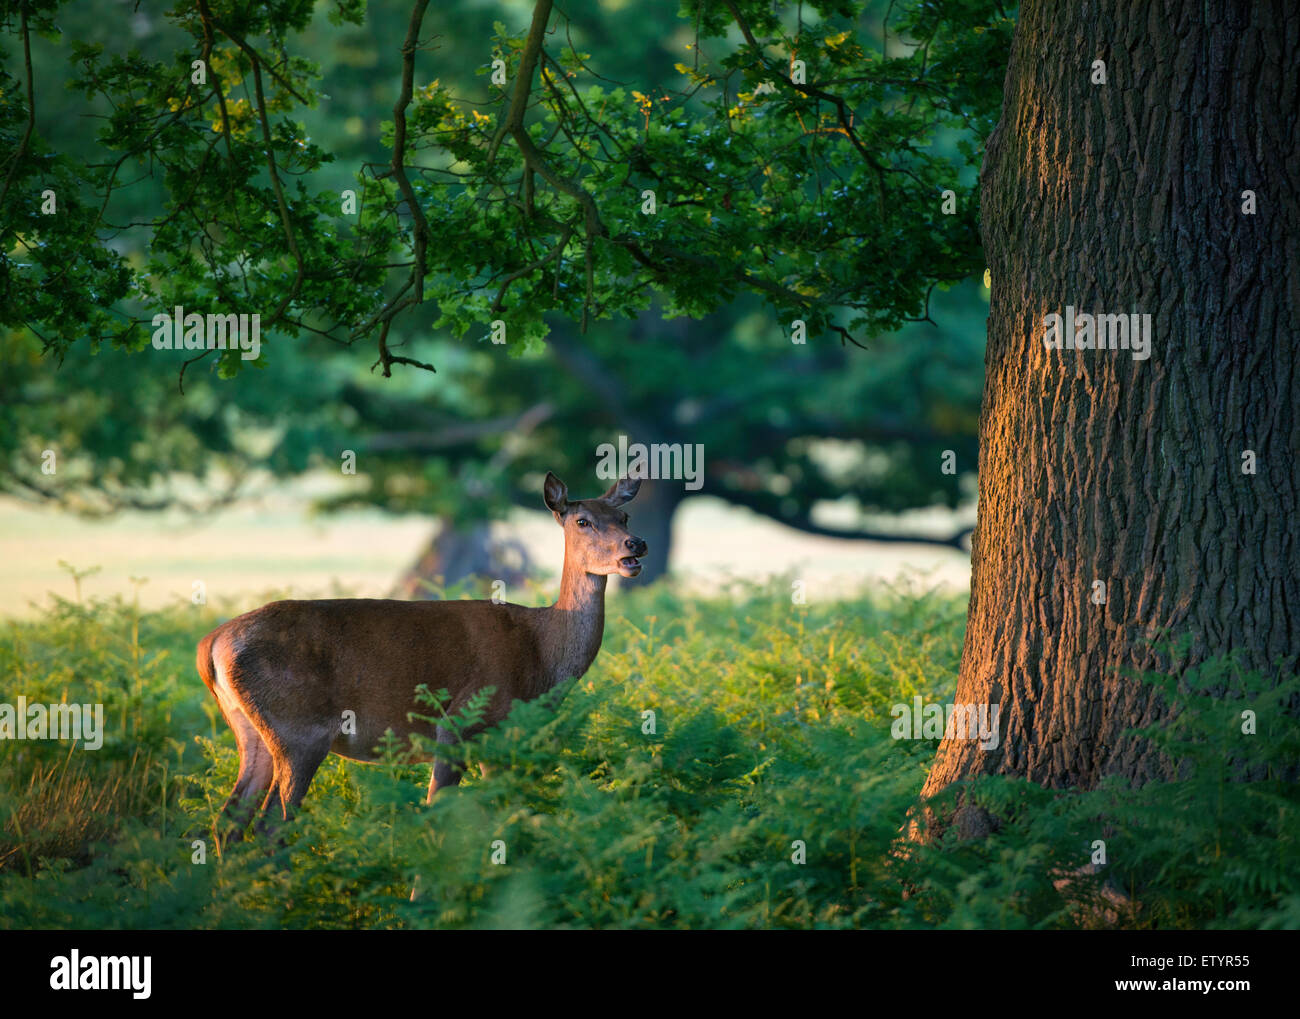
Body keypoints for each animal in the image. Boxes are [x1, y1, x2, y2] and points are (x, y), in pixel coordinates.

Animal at [197, 472, 646, 844]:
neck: (540, 656)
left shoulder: (500, 744)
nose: (636, 544)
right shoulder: (459, 725)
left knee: (228, 820)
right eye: (582, 521)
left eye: (624, 515)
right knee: (272, 824)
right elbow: (439, 816)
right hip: (299, 731)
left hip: (250, 731)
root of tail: (211, 646)